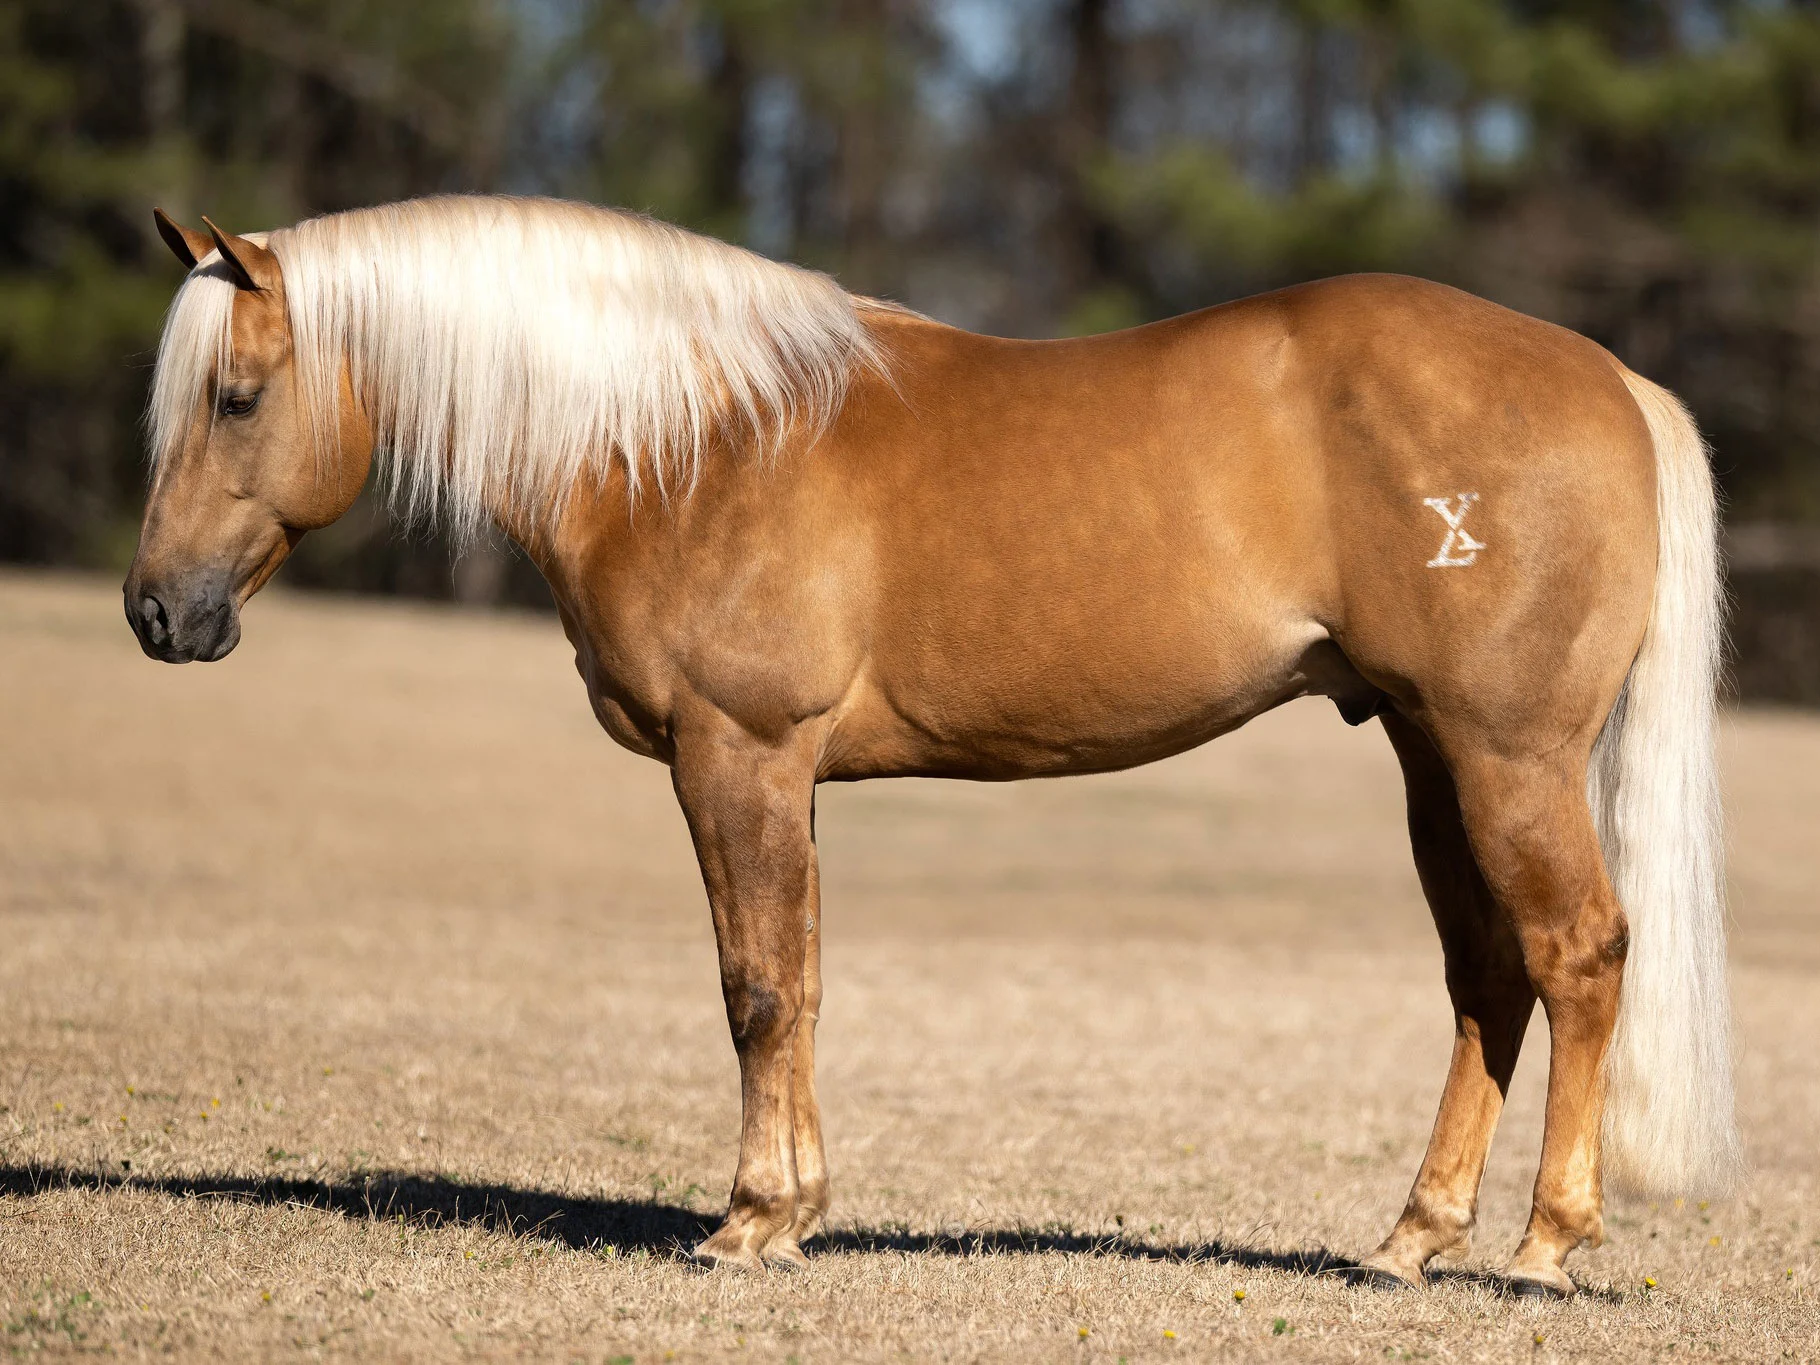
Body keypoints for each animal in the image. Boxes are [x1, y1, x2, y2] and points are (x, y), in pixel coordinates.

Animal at [127, 195, 1738, 1296]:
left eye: (237, 398)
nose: (157, 610)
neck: (693, 436)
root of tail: (1609, 378)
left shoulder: (737, 755)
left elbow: (756, 990)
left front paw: (745, 1222)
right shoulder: (784, 781)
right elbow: (802, 982)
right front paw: (796, 1208)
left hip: (1506, 757)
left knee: (1577, 955)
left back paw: (1541, 1246)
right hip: (1427, 755)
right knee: (1487, 979)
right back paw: (1409, 1238)